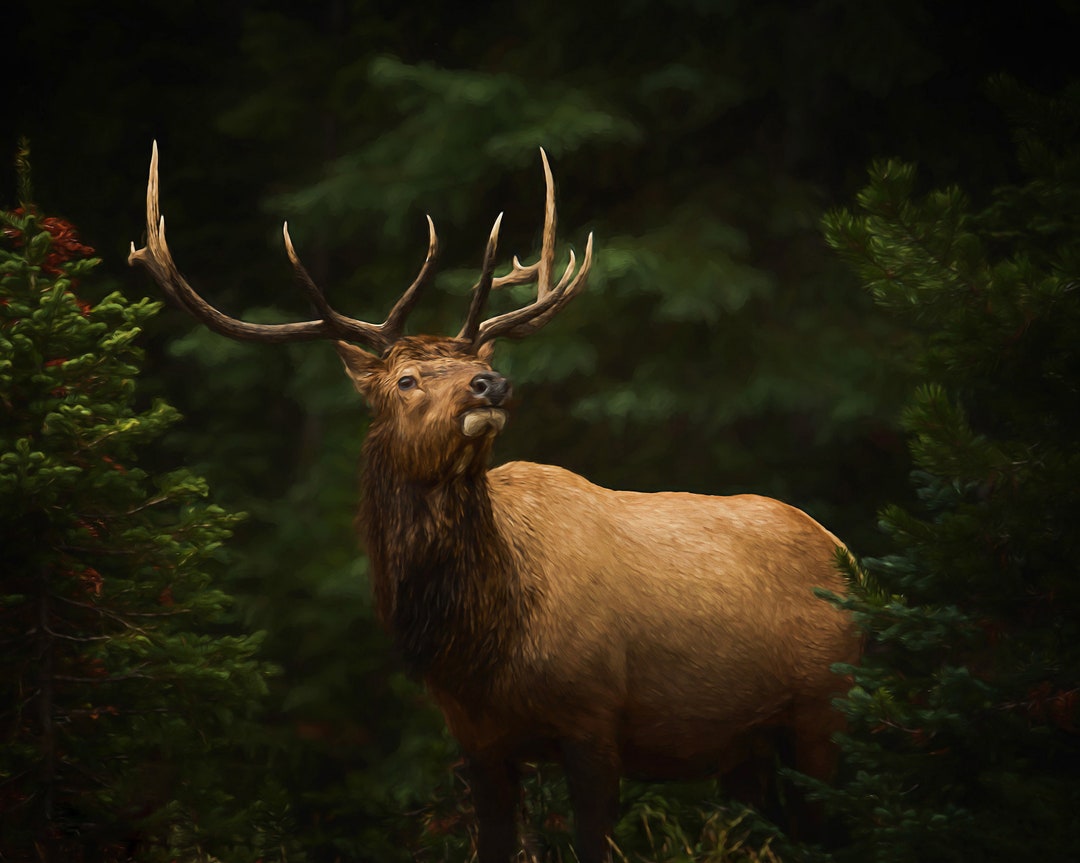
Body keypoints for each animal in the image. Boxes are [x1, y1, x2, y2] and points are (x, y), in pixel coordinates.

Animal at [130, 142, 860, 863]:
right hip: (751, 746)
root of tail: (846, 554)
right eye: (406, 378)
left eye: (472, 363)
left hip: (829, 704)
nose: (493, 382)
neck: (485, 645)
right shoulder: (475, 736)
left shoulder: (596, 714)